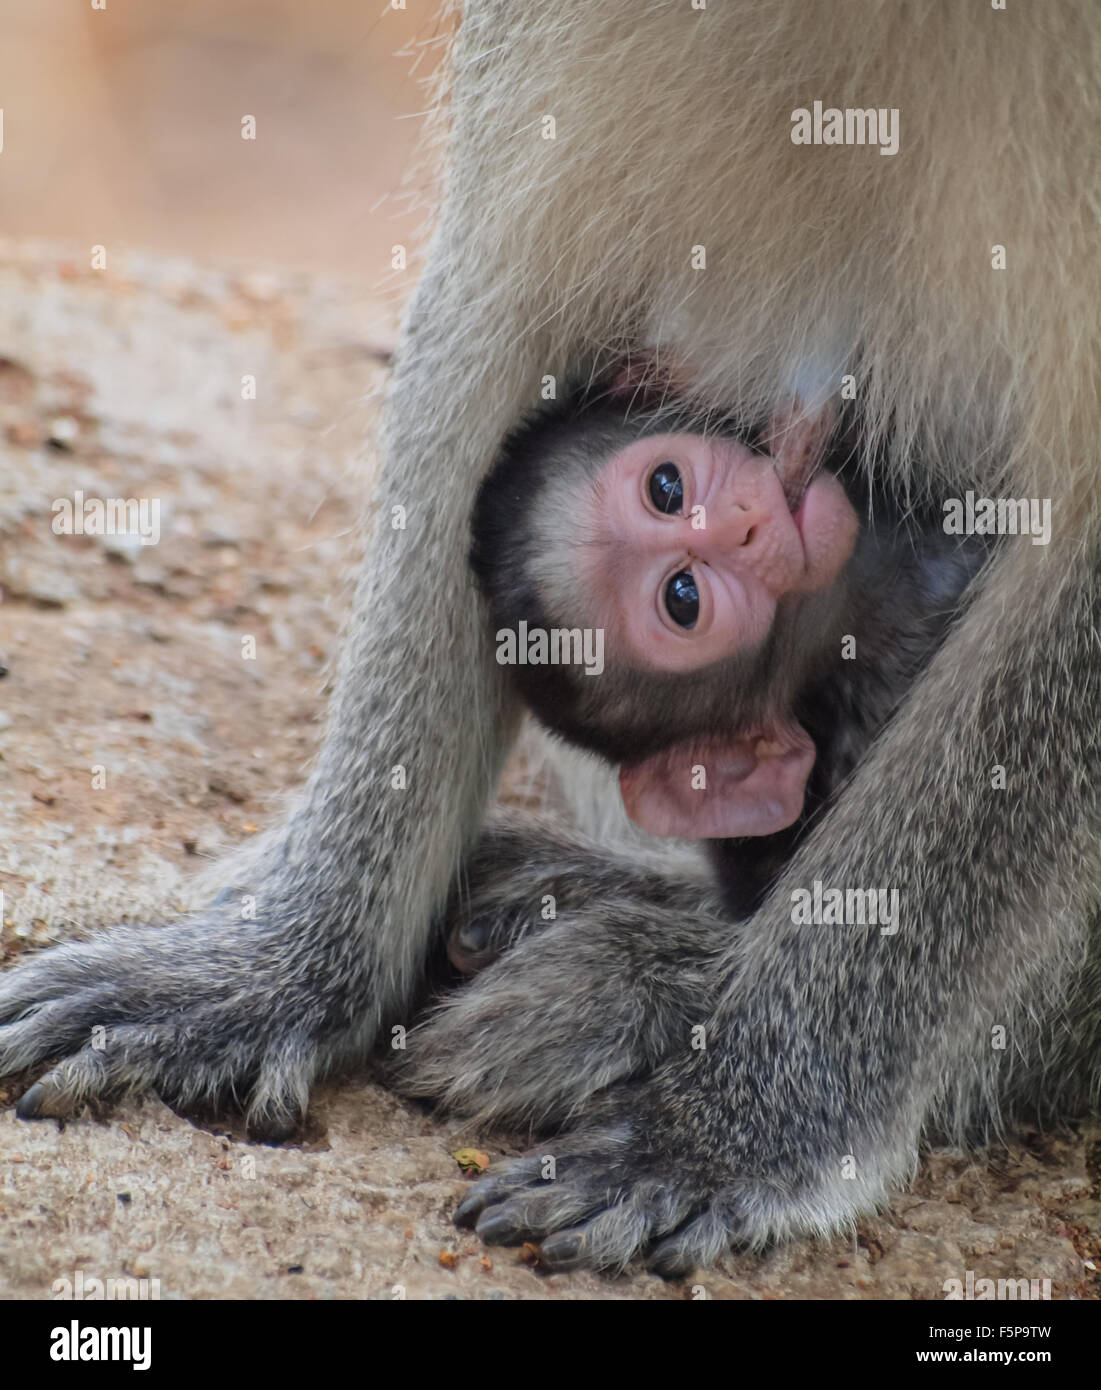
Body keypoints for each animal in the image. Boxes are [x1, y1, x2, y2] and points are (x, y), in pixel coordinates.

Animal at [1, 2, 1098, 1277]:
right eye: (675, 549)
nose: (750, 522)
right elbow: (500, 319)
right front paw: (287, 965)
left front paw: (739, 1121)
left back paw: (654, 969)